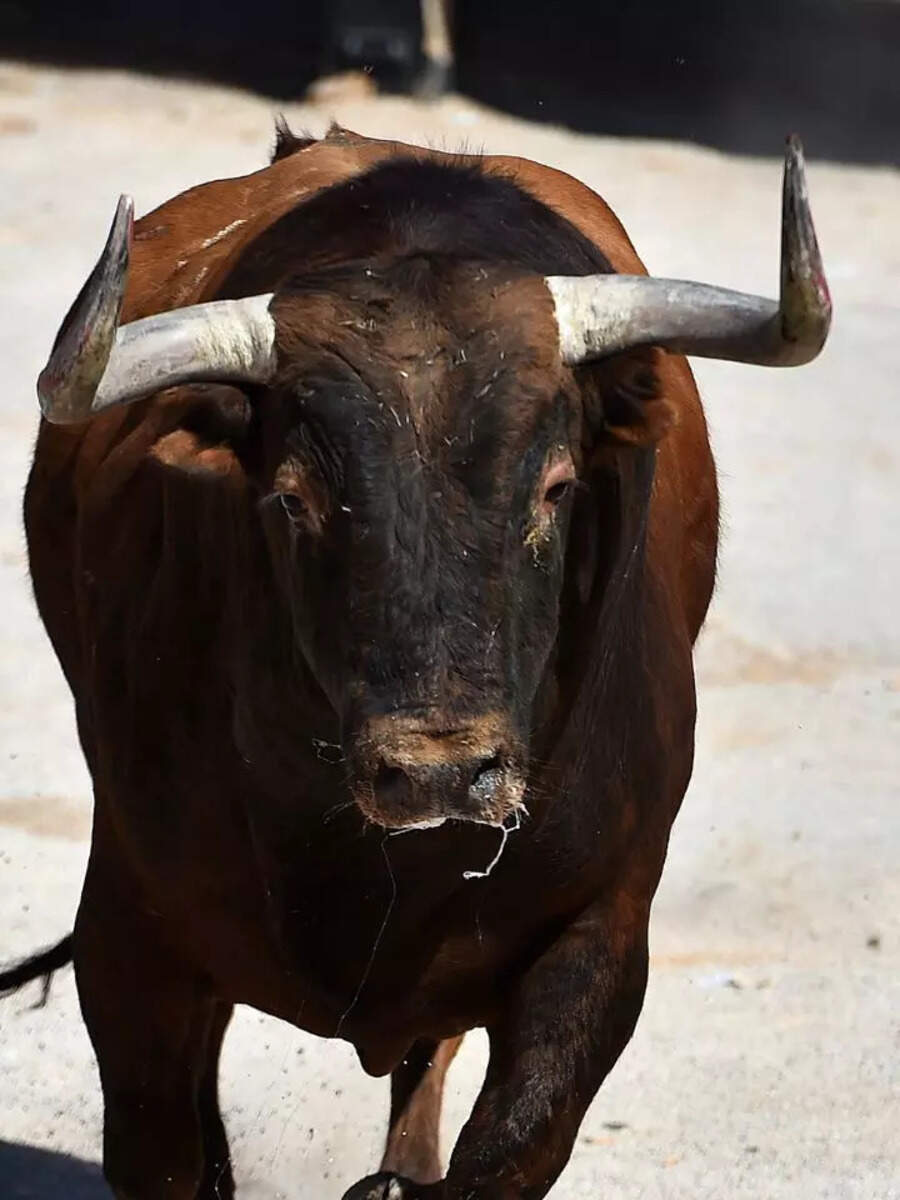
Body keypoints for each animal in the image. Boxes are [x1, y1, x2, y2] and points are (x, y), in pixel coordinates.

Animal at [1, 124, 830, 1199]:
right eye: (293, 498)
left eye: (556, 486)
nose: (439, 771)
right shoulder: (132, 935)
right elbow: (167, 1150)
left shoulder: (600, 935)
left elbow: (507, 1144)